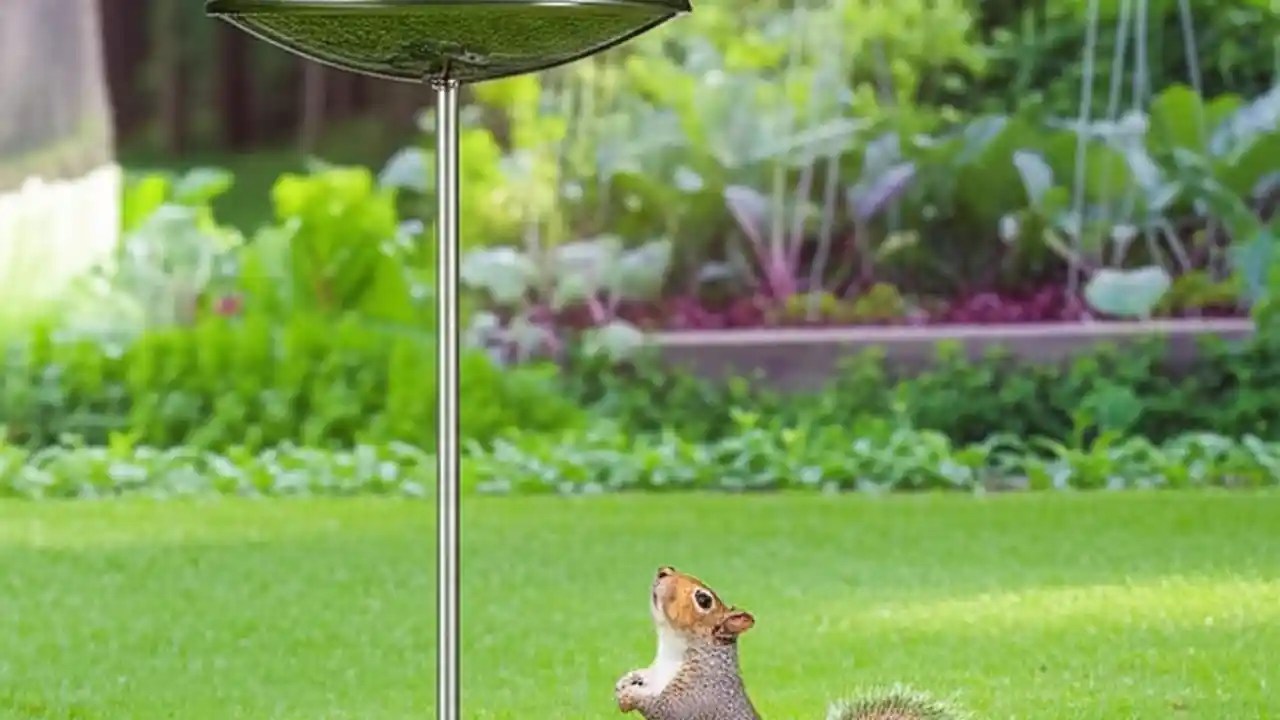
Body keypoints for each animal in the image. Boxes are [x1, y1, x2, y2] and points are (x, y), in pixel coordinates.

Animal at [613, 566, 971, 720]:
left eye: (703, 599)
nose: (663, 572)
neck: (672, 651)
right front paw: (625, 682)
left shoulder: (701, 694)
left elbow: (665, 707)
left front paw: (632, 697)